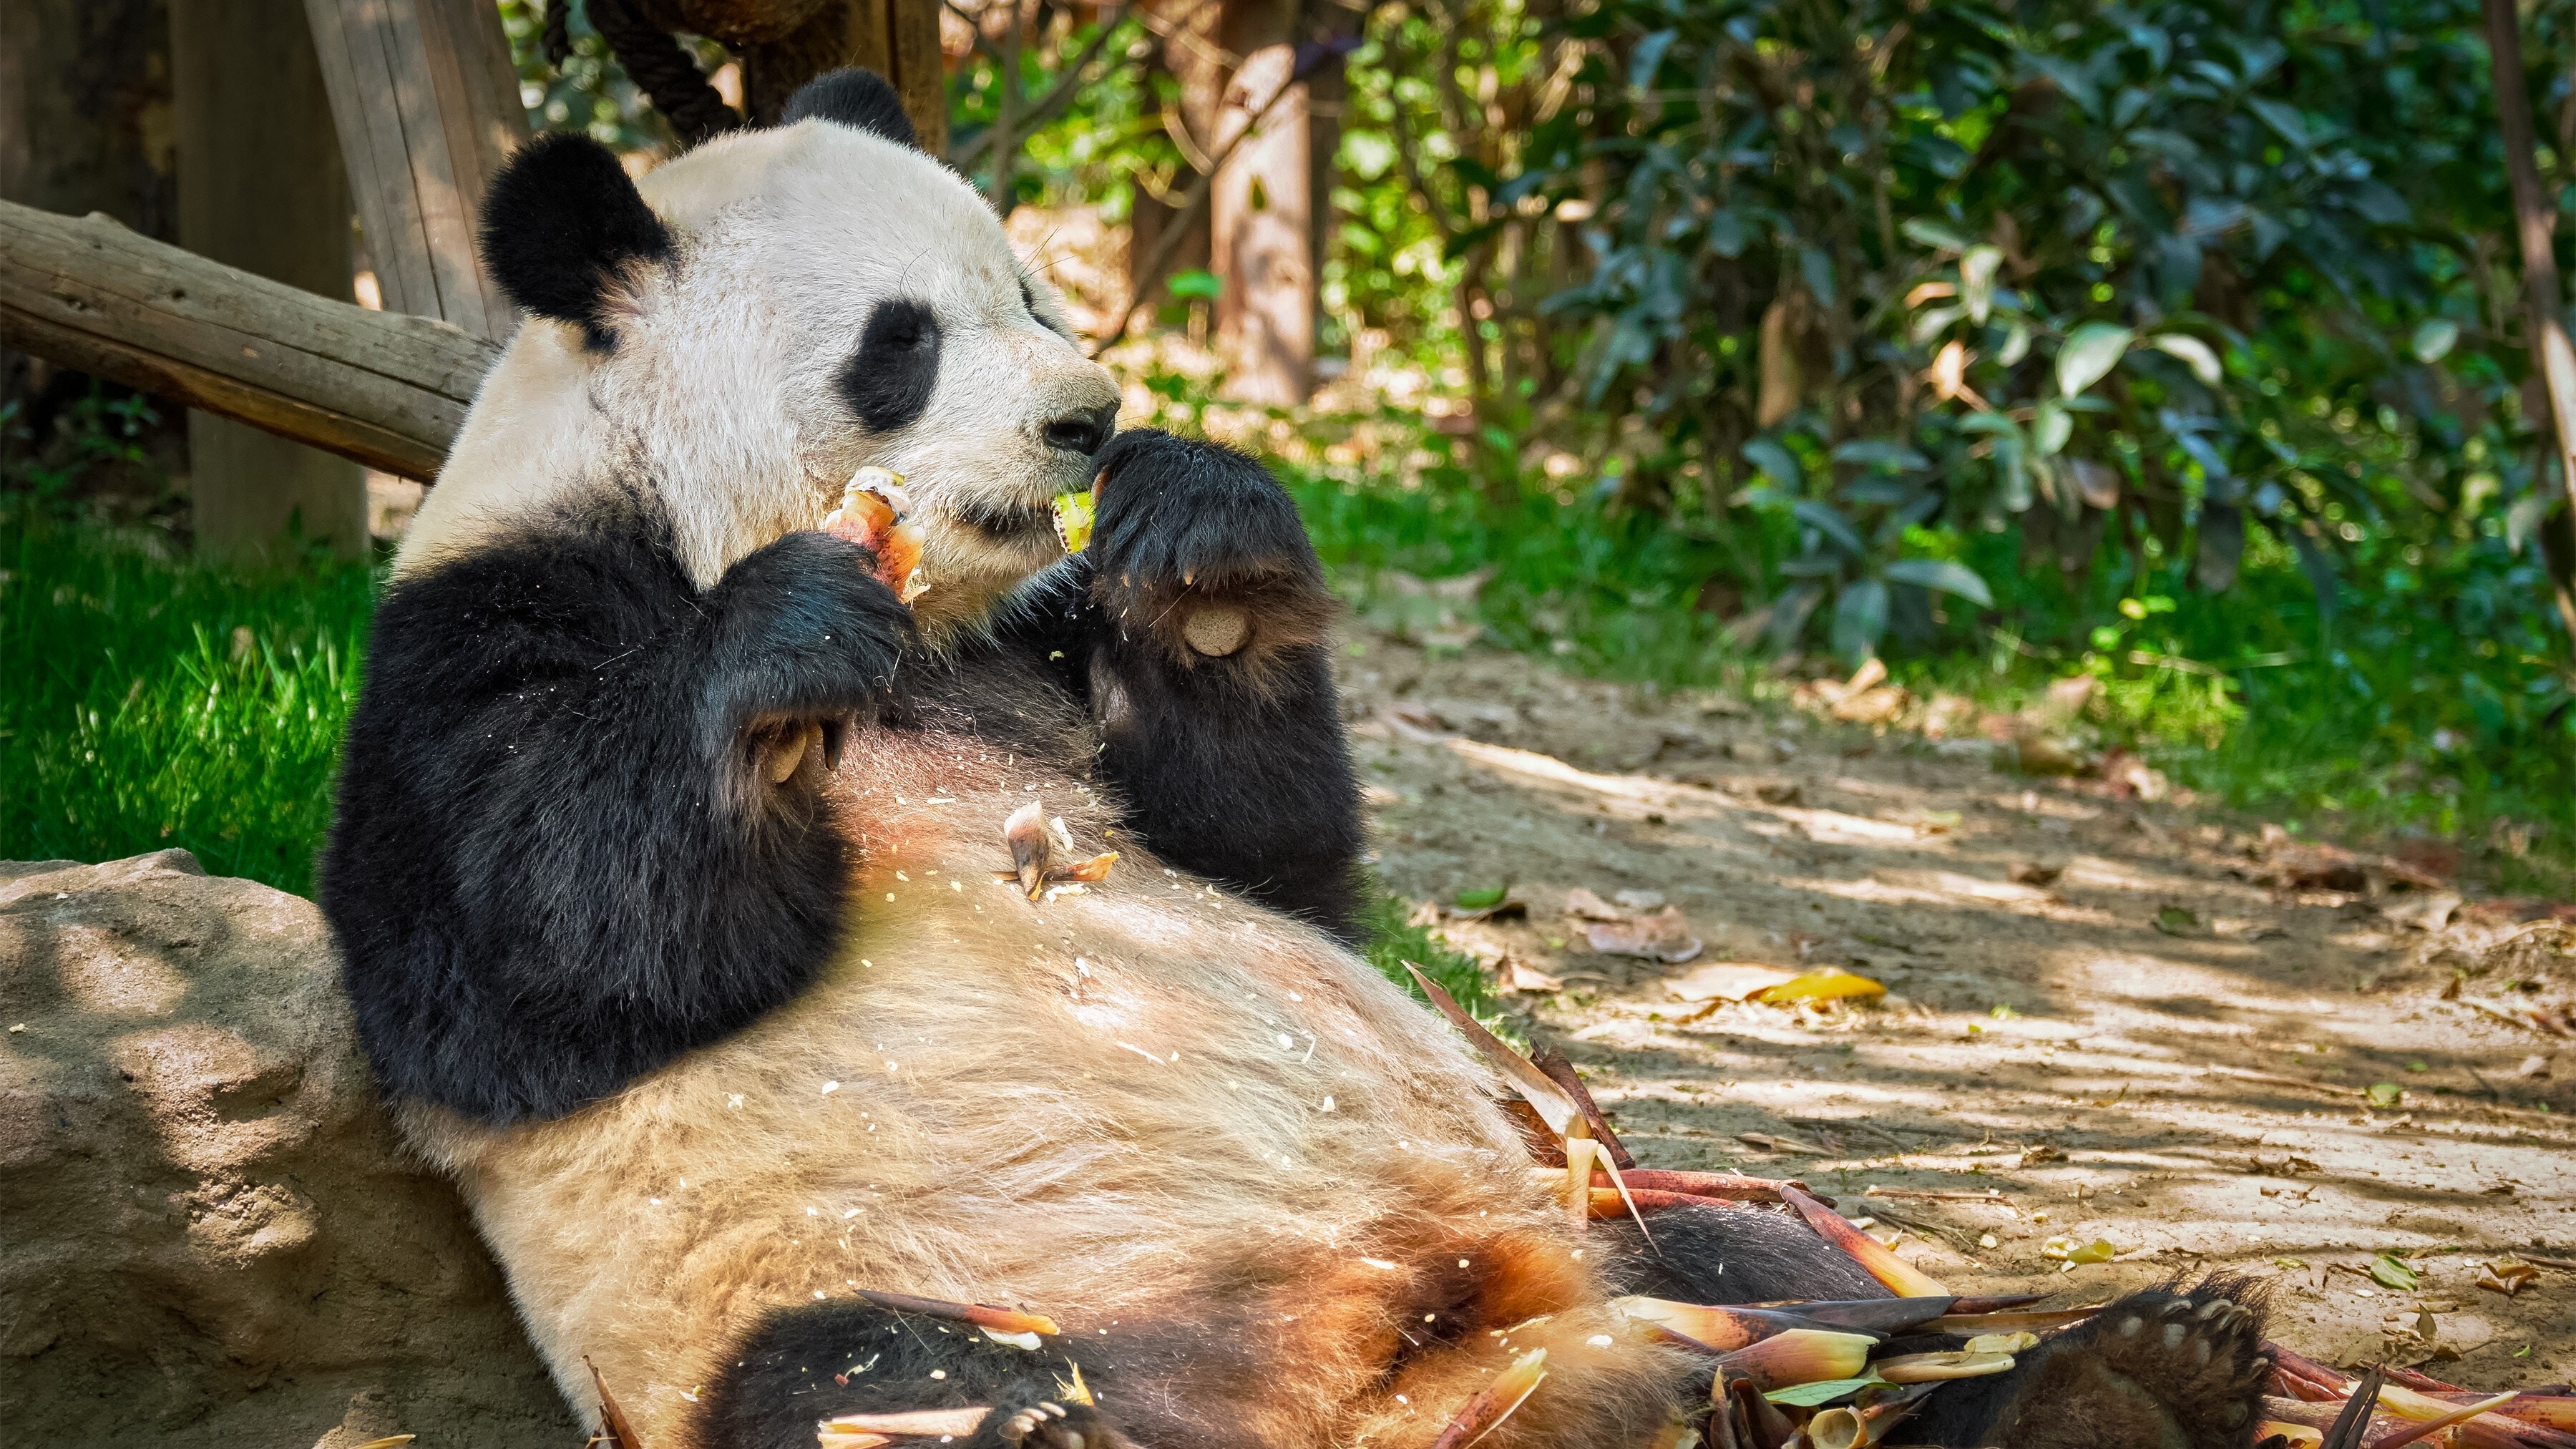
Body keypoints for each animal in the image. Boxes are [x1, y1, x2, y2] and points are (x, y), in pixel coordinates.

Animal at [320, 69, 2274, 1449]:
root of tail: (1434, 1352)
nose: (1089, 417)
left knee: (1778, 1272)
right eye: (903, 339)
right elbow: (547, 951)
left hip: (1597, 1202)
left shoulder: (1032, 647)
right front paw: (782, 647)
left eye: (1028, 282)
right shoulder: (471, 637)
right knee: (896, 1385)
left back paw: (2110, 1381)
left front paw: (1200, 556)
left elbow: (1269, 858)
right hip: (909, 1283)